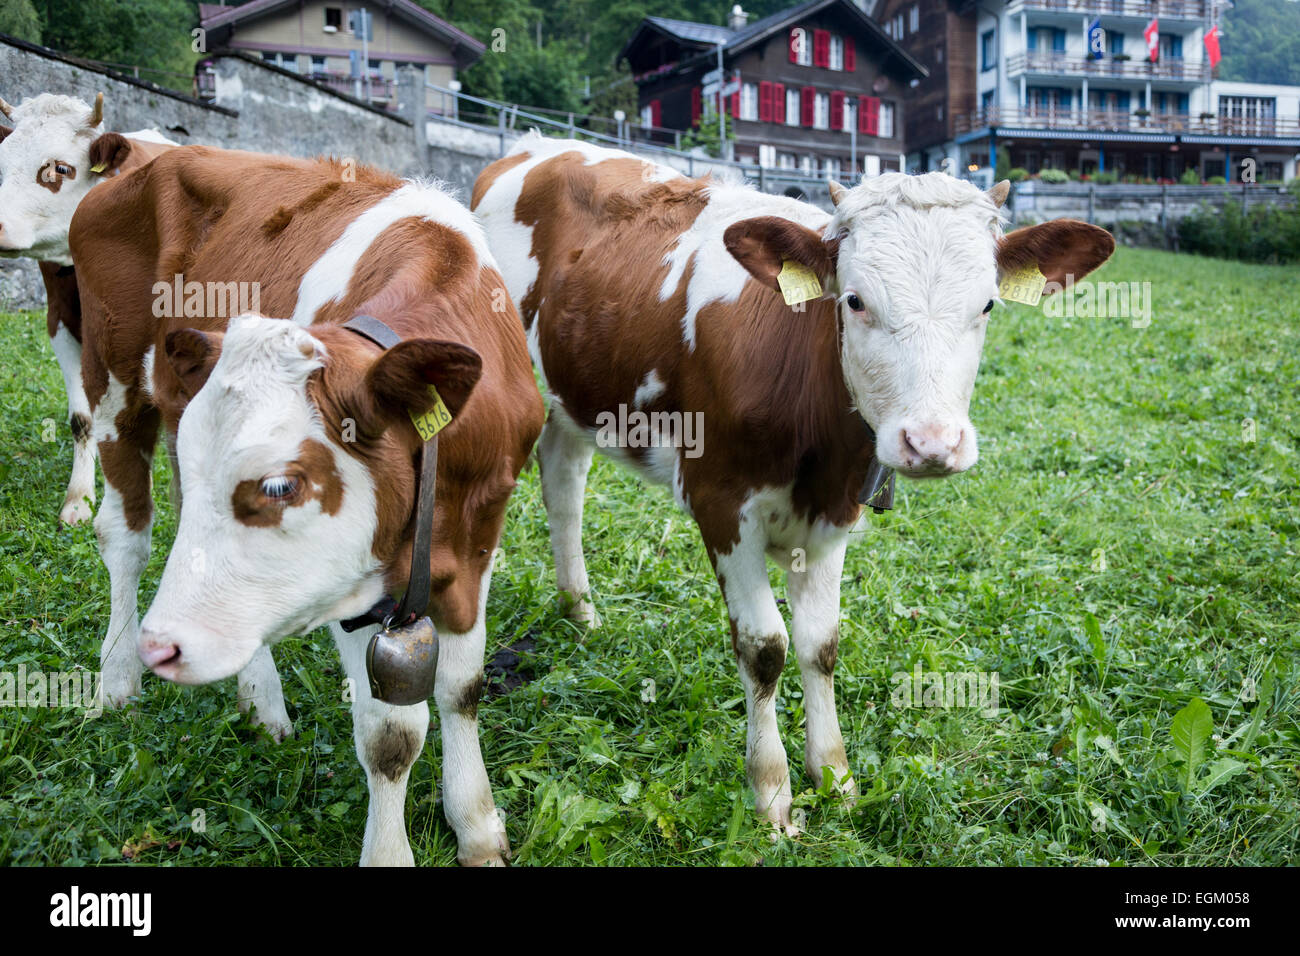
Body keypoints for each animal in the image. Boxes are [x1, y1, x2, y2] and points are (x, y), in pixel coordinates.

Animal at [69, 145, 544, 865]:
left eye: (278, 486)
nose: (162, 646)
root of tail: (149, 154)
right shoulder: (350, 586)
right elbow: (390, 735)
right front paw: (390, 853)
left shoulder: (479, 531)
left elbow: (463, 688)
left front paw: (477, 824)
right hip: (114, 378)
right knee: (125, 535)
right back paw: (120, 677)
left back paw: (256, 699)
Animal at [472, 134, 1114, 835]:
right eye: (854, 300)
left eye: (988, 304)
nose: (932, 443)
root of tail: (535, 145)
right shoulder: (721, 503)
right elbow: (765, 648)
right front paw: (772, 793)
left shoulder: (834, 514)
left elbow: (820, 644)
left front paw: (833, 775)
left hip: (575, 397)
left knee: (564, 483)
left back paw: (580, 611)